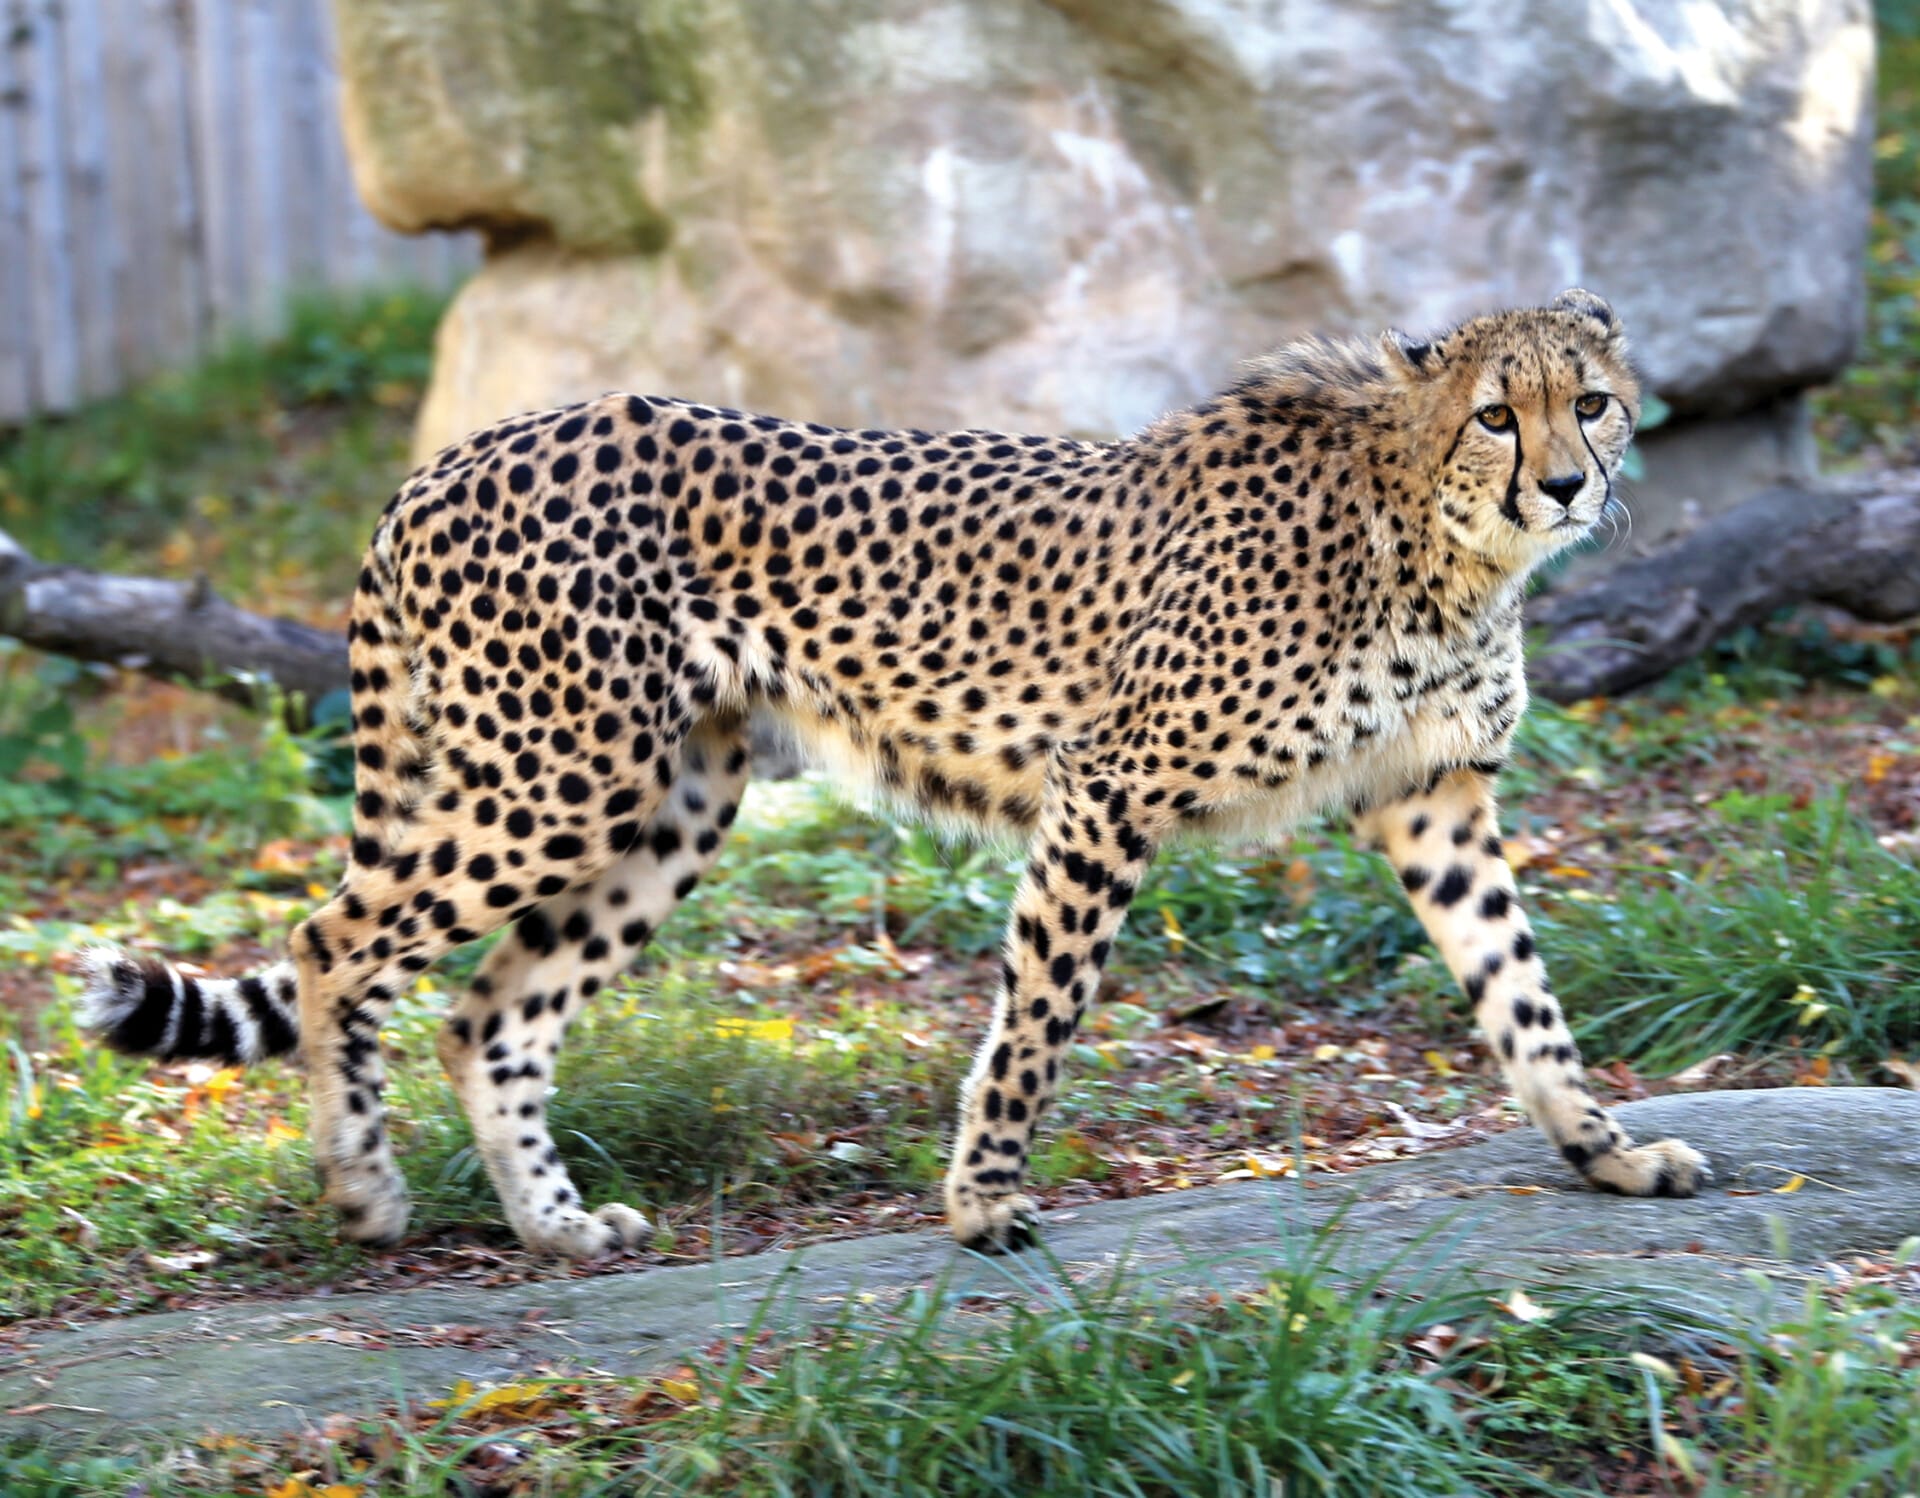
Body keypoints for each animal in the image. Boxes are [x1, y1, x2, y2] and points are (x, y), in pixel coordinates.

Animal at [77, 287, 1709, 1258]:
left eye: (1591, 400)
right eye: (1498, 412)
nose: (1570, 483)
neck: (1436, 537)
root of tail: (454, 454)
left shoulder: (1431, 797)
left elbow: (1523, 995)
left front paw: (1605, 1152)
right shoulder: (1103, 785)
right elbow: (1038, 1013)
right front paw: (982, 1197)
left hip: (669, 800)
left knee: (491, 1013)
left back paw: (555, 1229)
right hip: (550, 778)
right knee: (332, 940)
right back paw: (363, 1190)